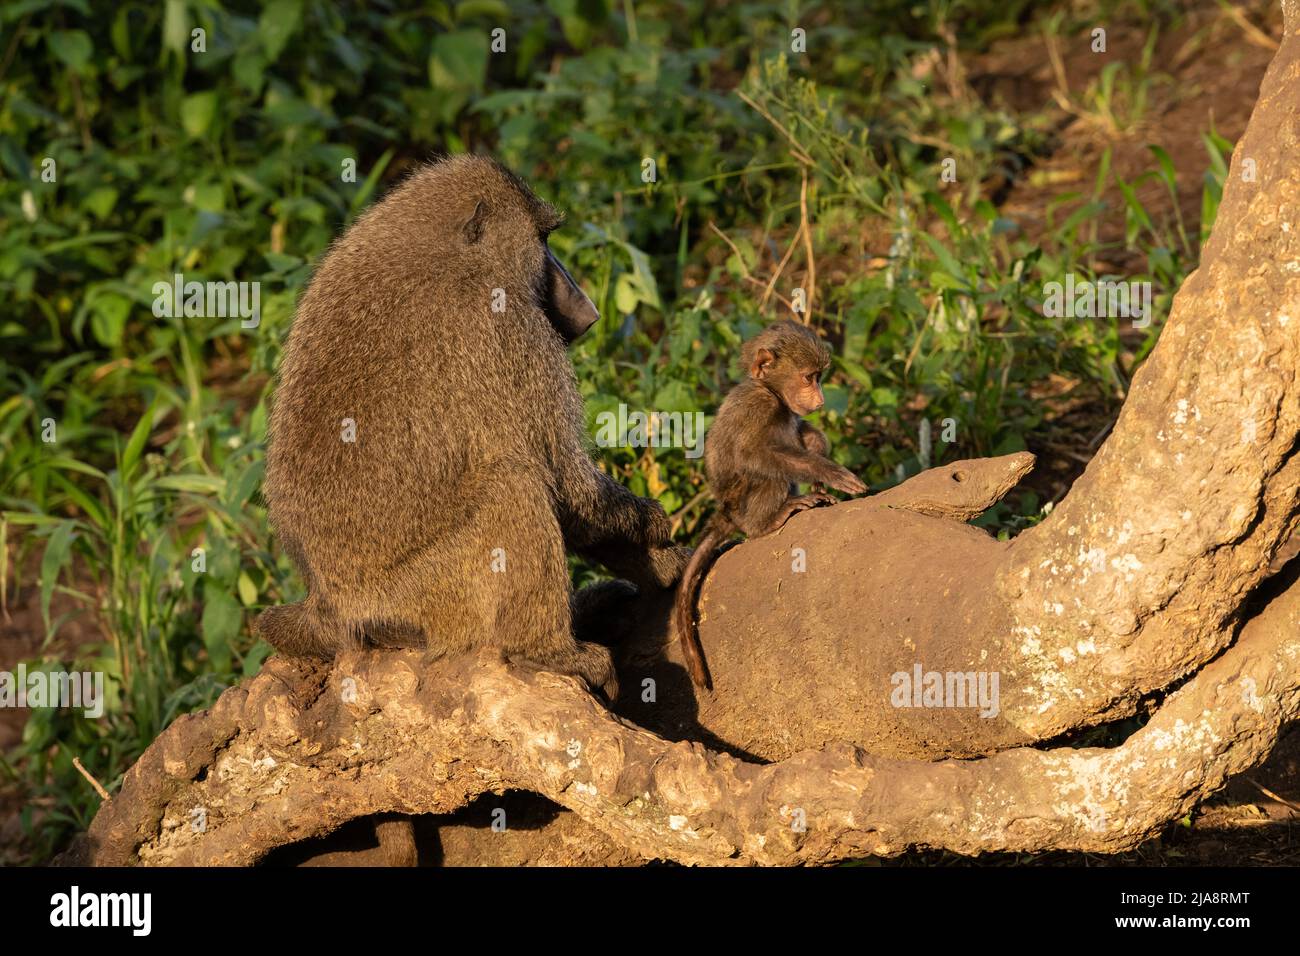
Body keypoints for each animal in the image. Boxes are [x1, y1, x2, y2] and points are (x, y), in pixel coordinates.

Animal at [254, 155, 687, 702]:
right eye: (544, 240)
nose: (587, 309)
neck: (447, 251)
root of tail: (325, 609)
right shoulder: (511, 326)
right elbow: (570, 489)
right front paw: (651, 525)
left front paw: (661, 565)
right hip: (427, 596)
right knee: (513, 483)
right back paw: (551, 652)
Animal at [673, 320, 867, 690]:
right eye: (809, 378)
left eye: (819, 377)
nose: (821, 399)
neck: (772, 392)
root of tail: (725, 514)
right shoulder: (758, 405)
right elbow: (751, 454)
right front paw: (830, 472)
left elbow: (805, 434)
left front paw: (820, 459)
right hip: (741, 501)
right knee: (767, 474)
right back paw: (768, 523)